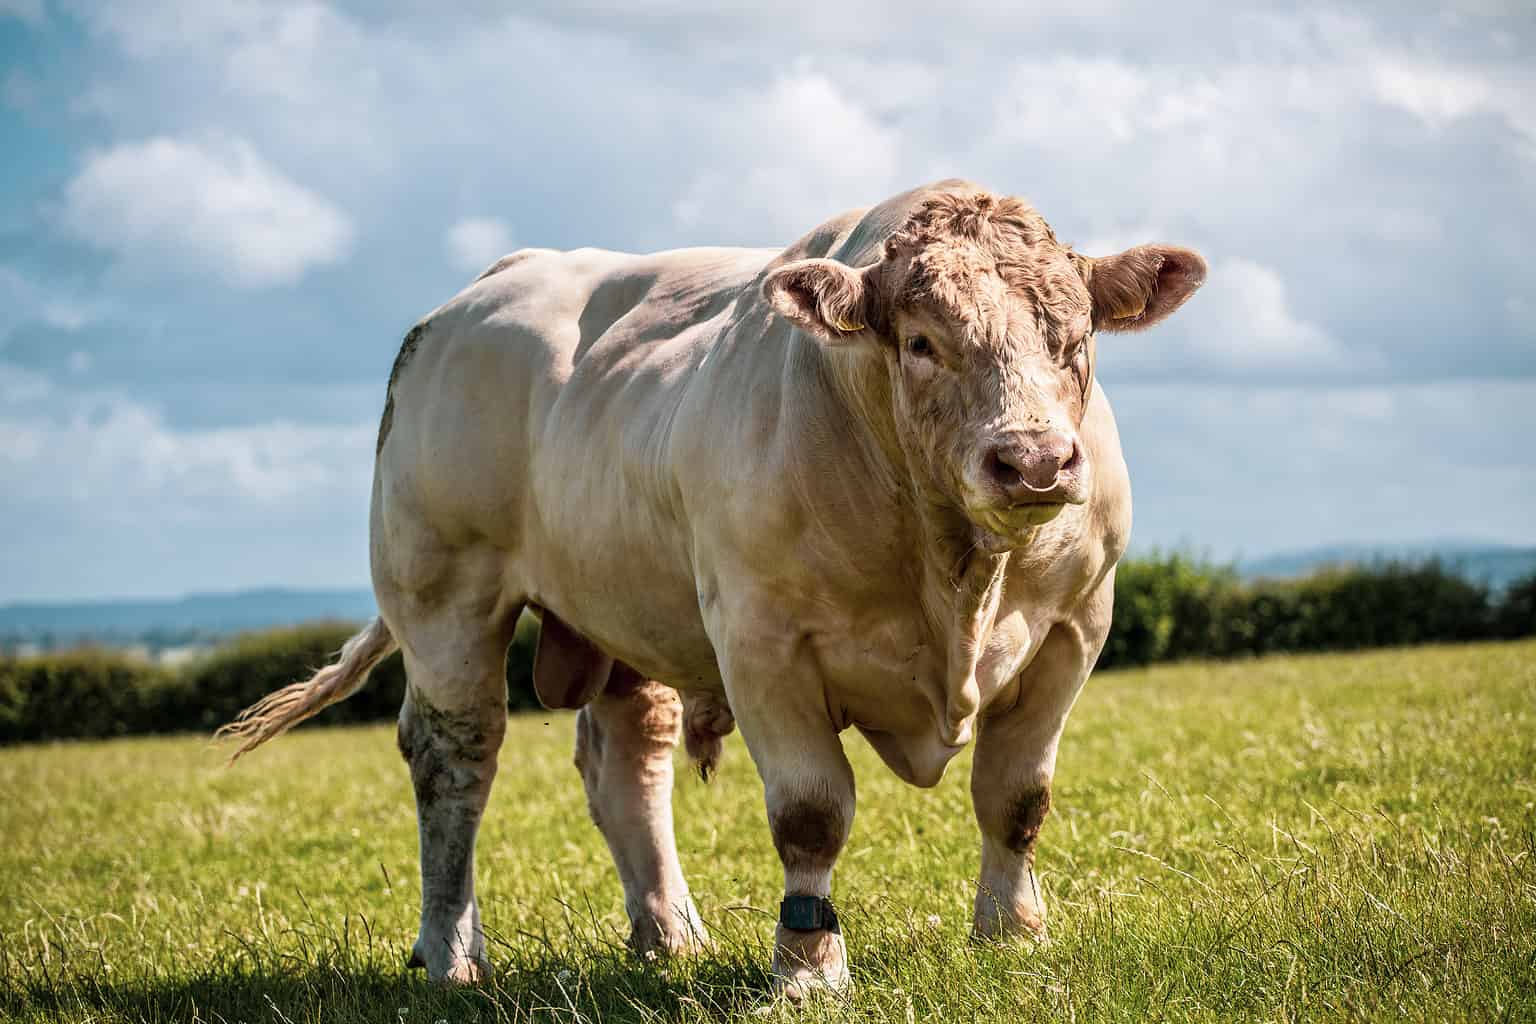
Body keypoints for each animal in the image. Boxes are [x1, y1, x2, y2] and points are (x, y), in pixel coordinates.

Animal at [219, 180, 1205, 999]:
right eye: (923, 342)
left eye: (1075, 340)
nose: (1034, 460)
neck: (956, 571)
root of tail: (486, 288)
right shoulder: (762, 643)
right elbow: (811, 814)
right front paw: (808, 971)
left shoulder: (1075, 628)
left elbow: (1016, 799)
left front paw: (1013, 936)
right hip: (443, 597)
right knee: (454, 757)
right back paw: (453, 951)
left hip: (623, 610)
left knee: (625, 760)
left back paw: (669, 933)